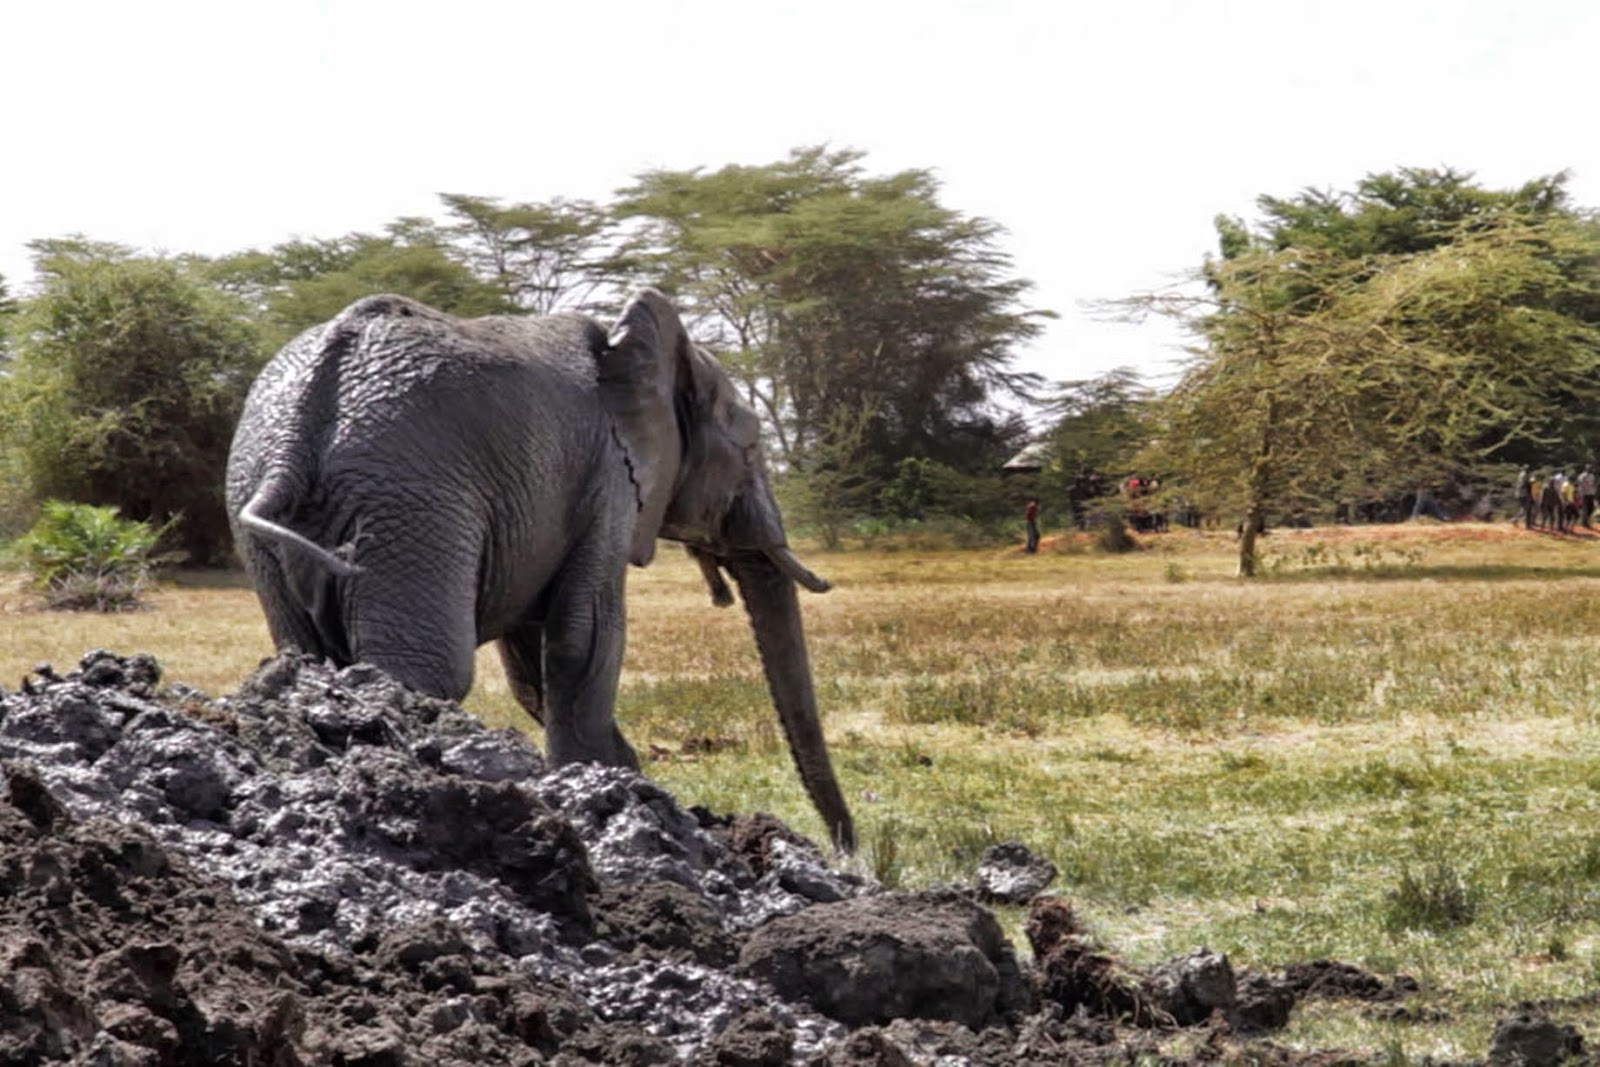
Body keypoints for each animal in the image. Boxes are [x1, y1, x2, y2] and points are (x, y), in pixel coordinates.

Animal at [225, 289, 856, 851]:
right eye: (748, 452)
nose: (848, 849)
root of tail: (299, 426)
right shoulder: (611, 476)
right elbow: (586, 637)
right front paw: (609, 788)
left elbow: (533, 669)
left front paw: (625, 780)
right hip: (412, 503)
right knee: (426, 669)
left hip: (259, 505)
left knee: (307, 651)